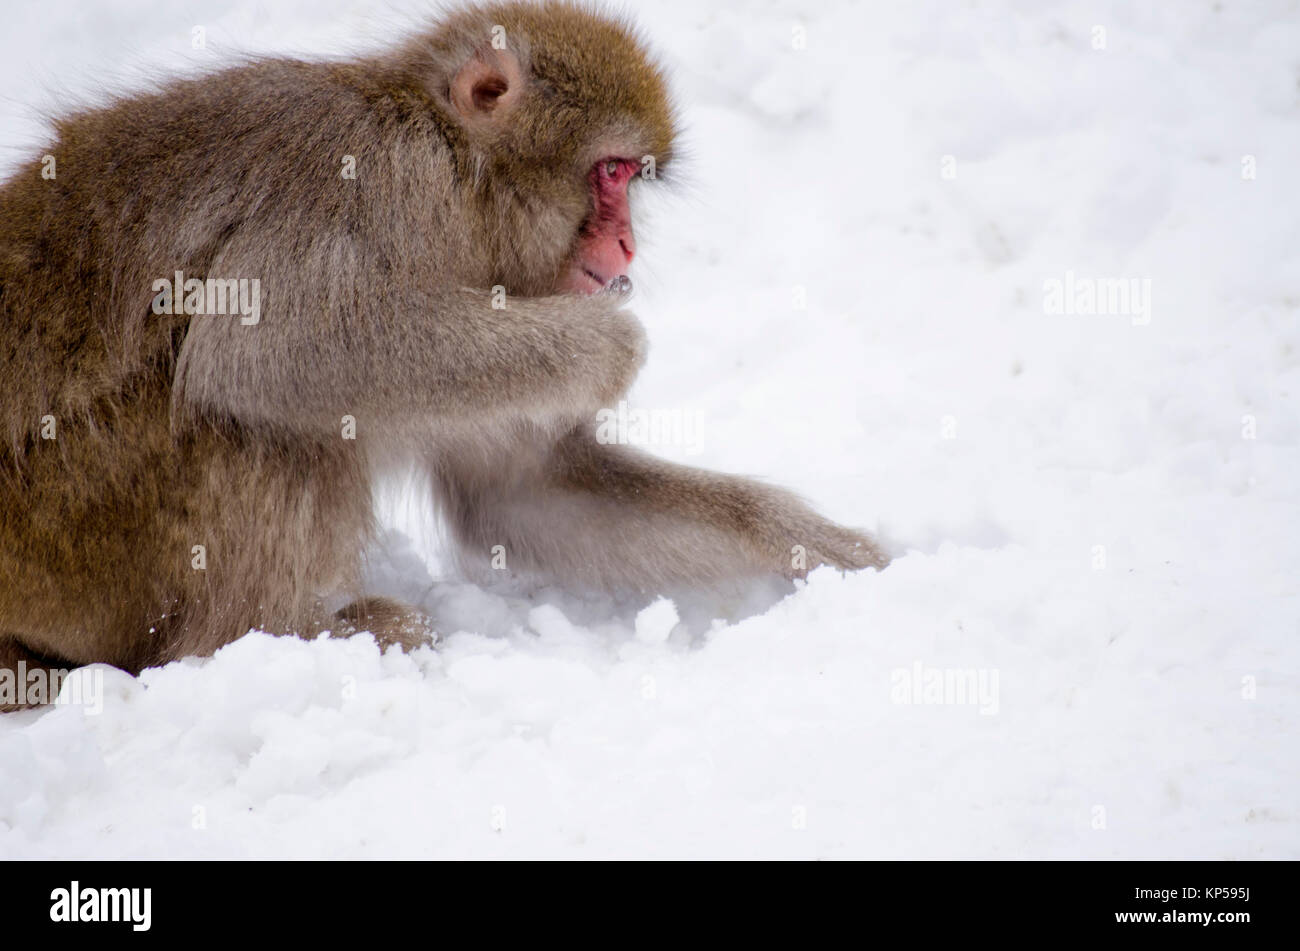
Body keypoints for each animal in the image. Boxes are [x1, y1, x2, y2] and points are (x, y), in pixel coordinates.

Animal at [0, 0, 888, 711]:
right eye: (609, 173)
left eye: (633, 179)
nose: (628, 242)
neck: (466, 177)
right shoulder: (374, 176)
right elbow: (272, 349)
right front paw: (608, 343)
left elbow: (521, 491)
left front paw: (834, 554)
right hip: (74, 537)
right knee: (253, 419)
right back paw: (278, 639)